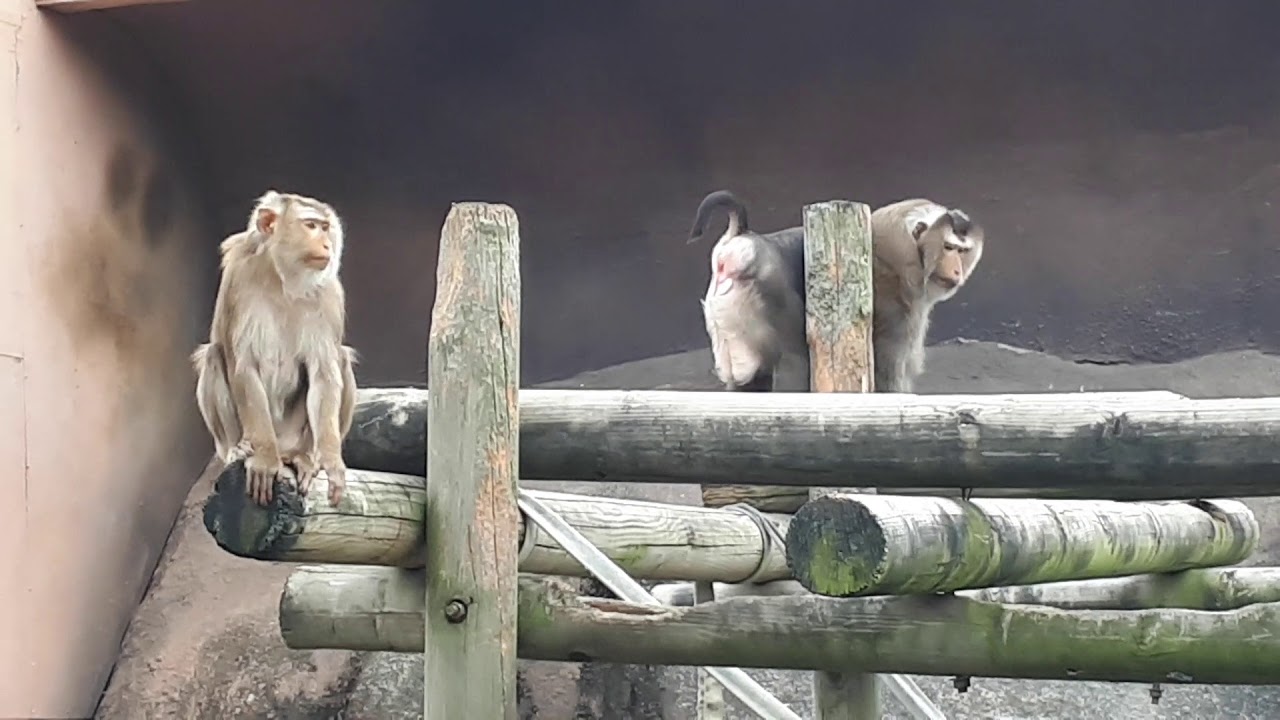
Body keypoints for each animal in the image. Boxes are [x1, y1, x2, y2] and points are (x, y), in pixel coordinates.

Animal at [191, 190, 358, 507]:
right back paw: (240, 448)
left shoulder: (330, 293)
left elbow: (324, 373)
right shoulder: (238, 279)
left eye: (325, 227)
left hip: (294, 433)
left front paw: (330, 461)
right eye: (311, 226)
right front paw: (265, 459)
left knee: (340, 359)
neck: (283, 277)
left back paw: (304, 456)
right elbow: (243, 366)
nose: (327, 244)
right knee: (215, 355)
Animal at [687, 190, 985, 394]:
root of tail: (741, 243)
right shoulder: (896, 301)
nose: (957, 270)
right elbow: (888, 372)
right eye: (948, 247)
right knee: (793, 363)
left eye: (962, 251)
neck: (910, 251)